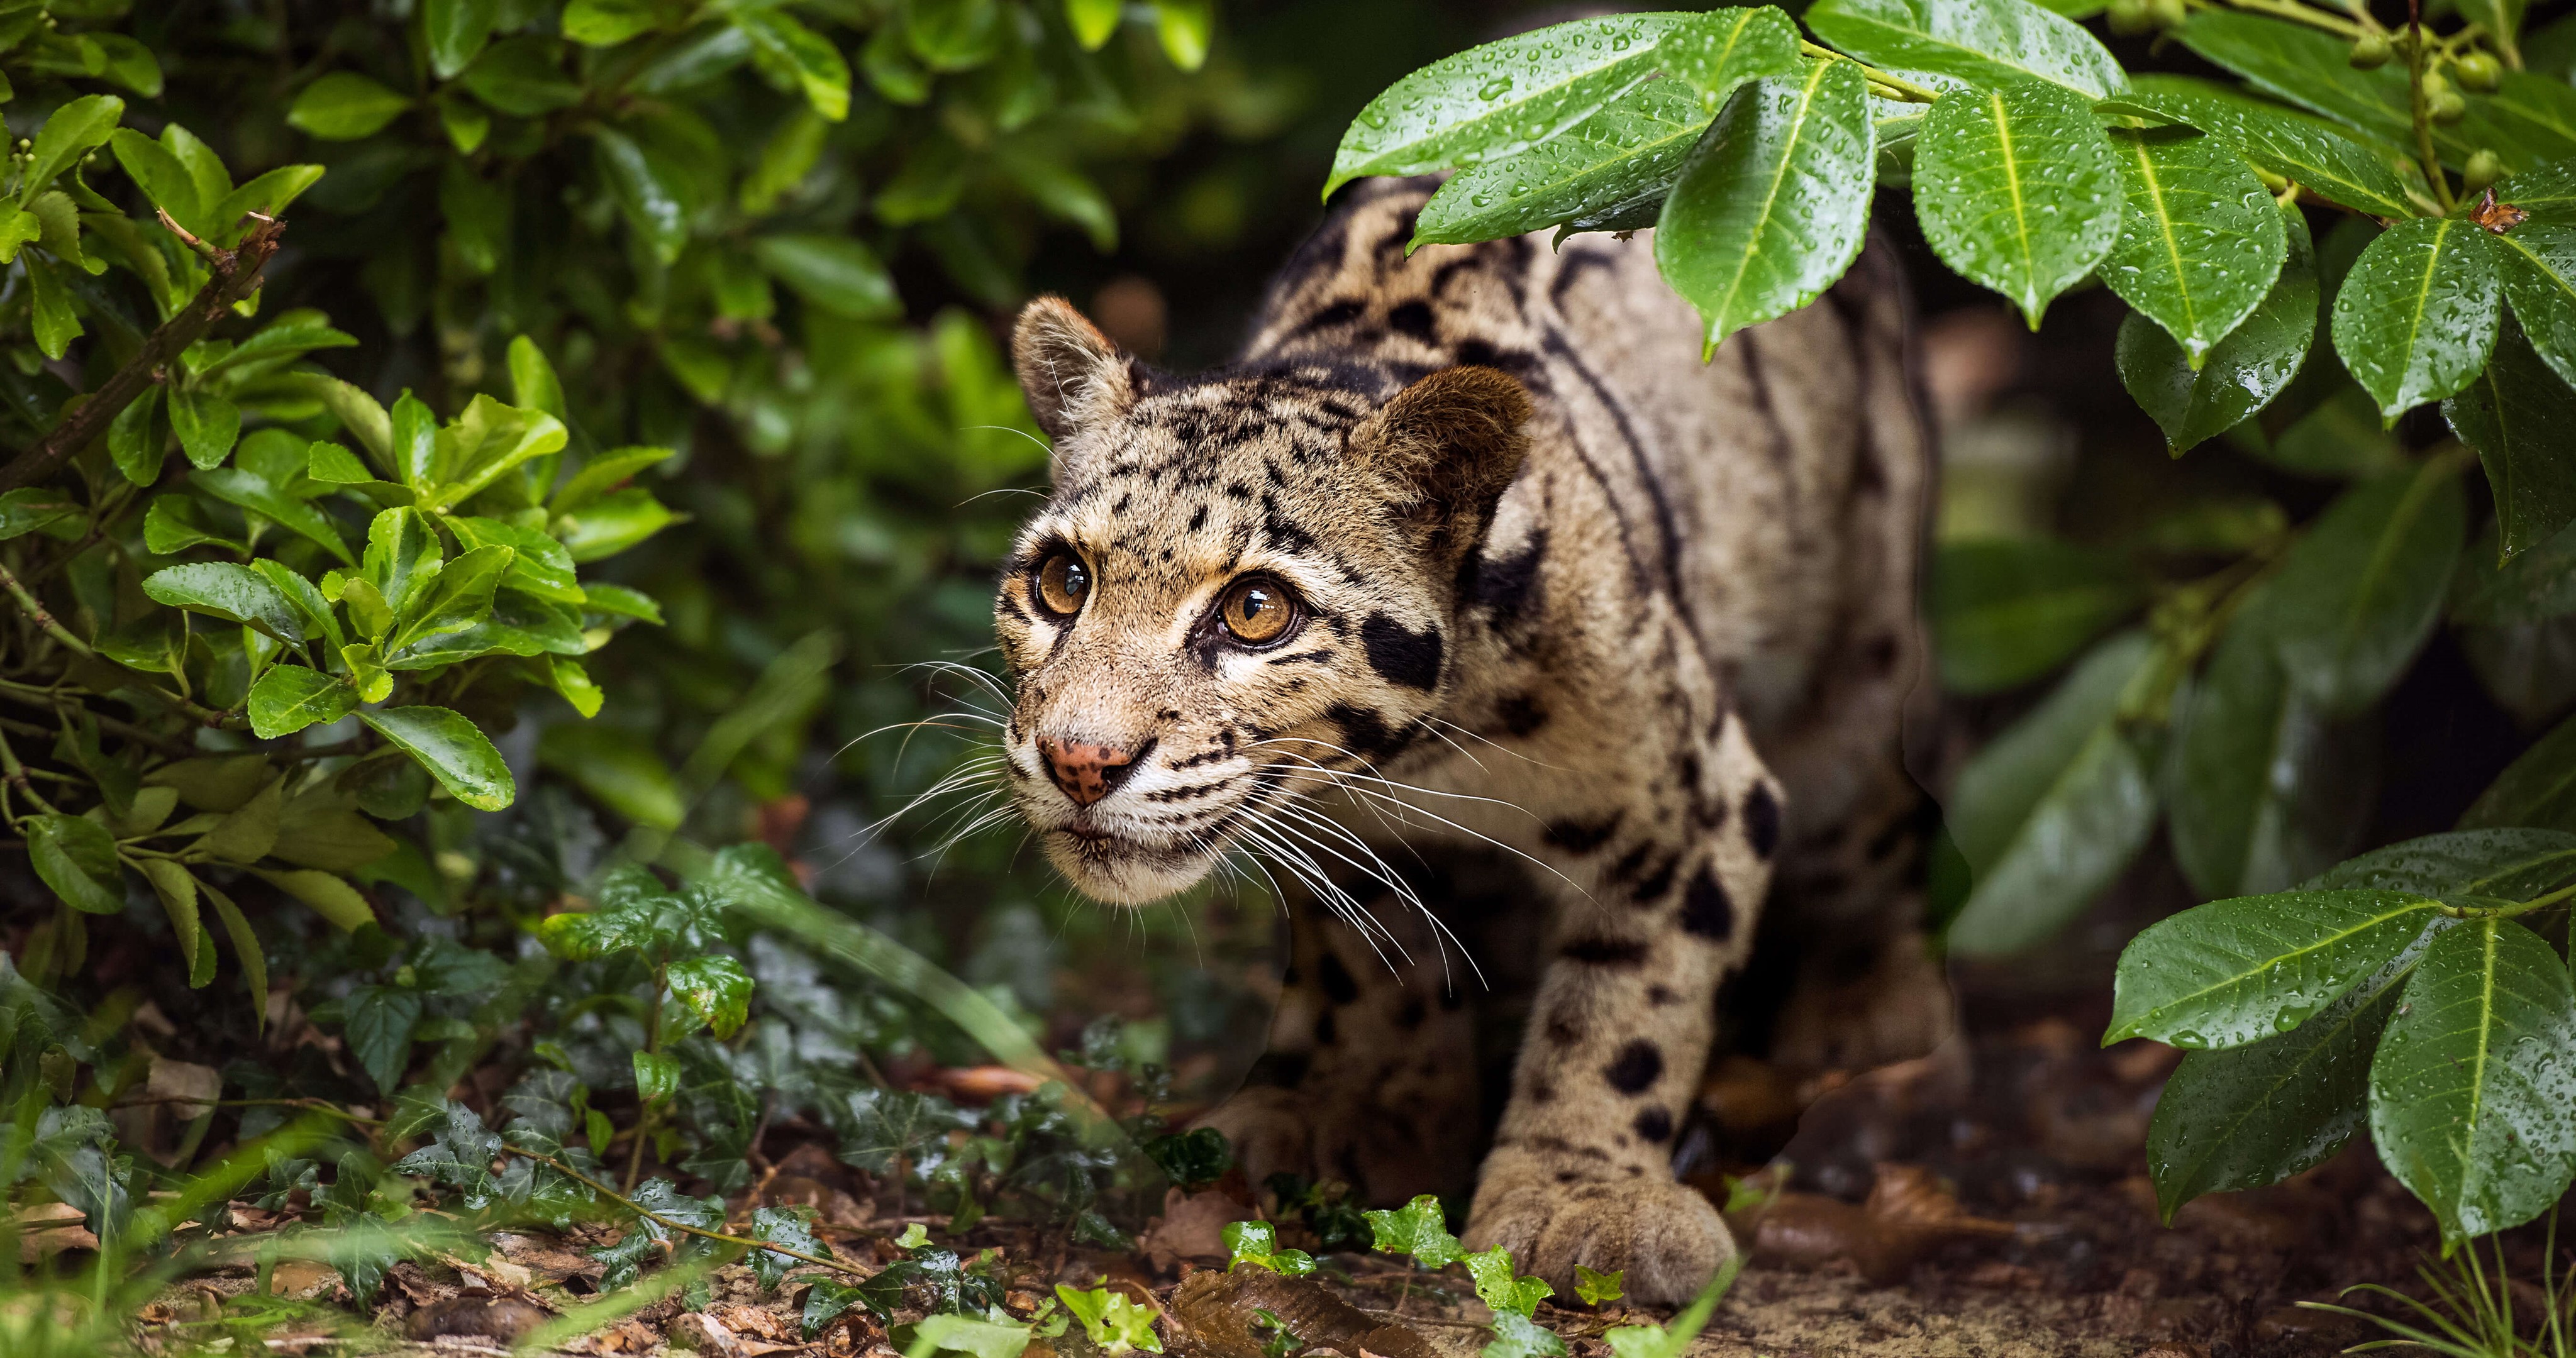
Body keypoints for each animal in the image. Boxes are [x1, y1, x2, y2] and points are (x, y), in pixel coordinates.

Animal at [990, 176, 1953, 1305]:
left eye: (1256, 610)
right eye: (1062, 582)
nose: (1079, 760)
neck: (1435, 753)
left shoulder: (1695, 792)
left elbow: (1629, 998)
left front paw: (1588, 1197)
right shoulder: (1343, 838)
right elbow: (1378, 967)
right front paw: (1372, 1111)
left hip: (1856, 654)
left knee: (1871, 802)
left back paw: (1873, 1004)